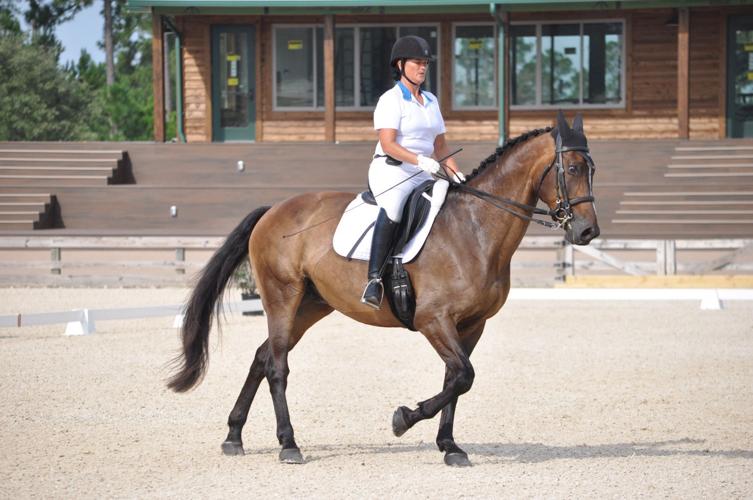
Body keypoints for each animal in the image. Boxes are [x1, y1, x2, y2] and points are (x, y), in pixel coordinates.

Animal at [167, 112, 599, 467]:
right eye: (572, 167)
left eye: (592, 168)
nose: (587, 231)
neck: (475, 228)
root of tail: (272, 210)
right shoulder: (432, 319)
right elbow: (463, 376)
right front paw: (403, 419)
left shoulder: (472, 325)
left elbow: (456, 379)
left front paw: (450, 447)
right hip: (282, 297)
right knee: (276, 365)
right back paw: (288, 444)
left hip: (311, 305)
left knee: (263, 356)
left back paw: (233, 436)